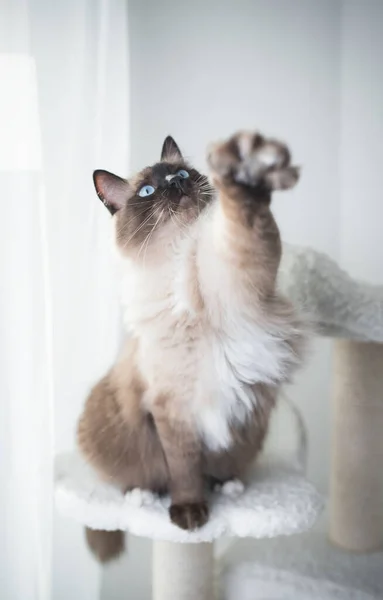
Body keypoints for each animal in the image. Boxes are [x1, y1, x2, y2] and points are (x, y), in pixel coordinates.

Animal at [77, 127, 306, 564]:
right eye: (148, 190)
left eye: (182, 173)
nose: (175, 183)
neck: (182, 253)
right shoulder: (173, 408)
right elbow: (183, 470)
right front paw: (189, 515)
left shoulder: (243, 272)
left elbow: (246, 224)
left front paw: (246, 171)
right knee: (136, 477)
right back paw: (142, 496)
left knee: (222, 466)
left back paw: (228, 484)